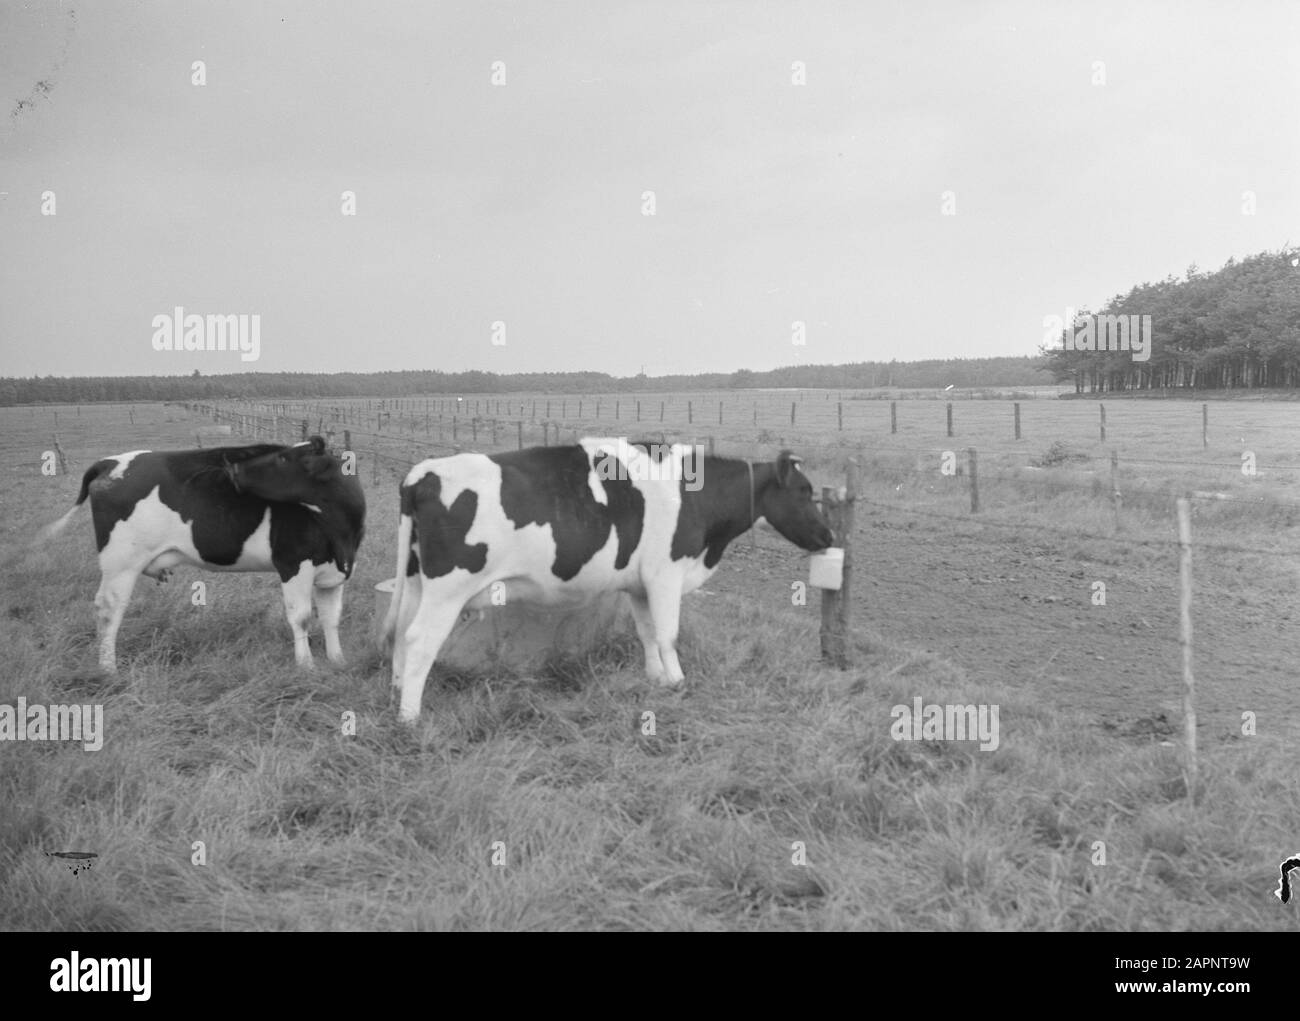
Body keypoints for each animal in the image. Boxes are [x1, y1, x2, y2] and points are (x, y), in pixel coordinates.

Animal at [40, 436, 366, 672]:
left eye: (285, 458)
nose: (233, 468)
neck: (341, 532)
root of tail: (111, 462)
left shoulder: (334, 574)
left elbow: (331, 618)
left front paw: (338, 660)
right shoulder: (293, 564)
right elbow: (301, 617)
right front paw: (306, 665)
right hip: (120, 563)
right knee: (109, 610)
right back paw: (108, 669)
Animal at [380, 438, 833, 722]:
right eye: (804, 492)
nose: (829, 536)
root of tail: (423, 473)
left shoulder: (640, 584)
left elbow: (647, 633)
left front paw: (656, 679)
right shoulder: (665, 574)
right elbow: (668, 635)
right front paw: (679, 682)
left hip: (416, 581)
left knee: (401, 632)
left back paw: (396, 694)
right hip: (448, 589)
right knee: (420, 640)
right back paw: (410, 717)